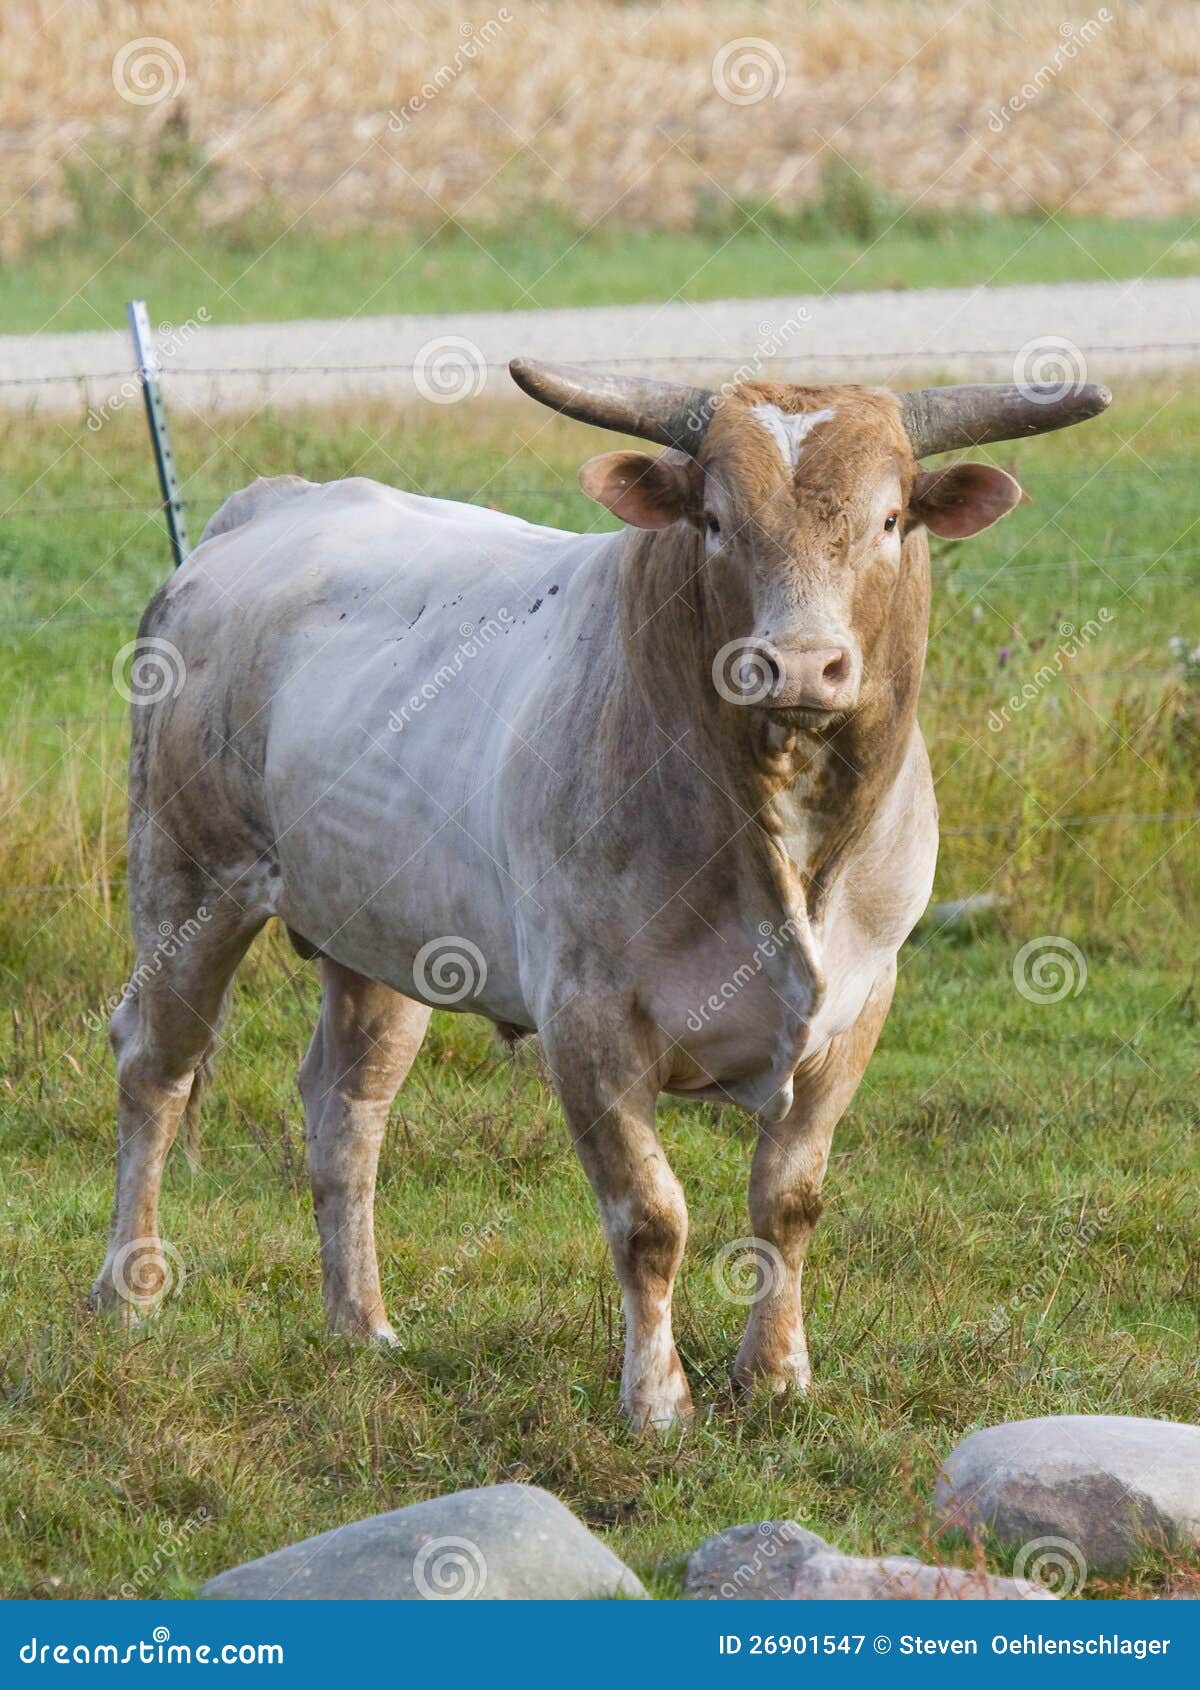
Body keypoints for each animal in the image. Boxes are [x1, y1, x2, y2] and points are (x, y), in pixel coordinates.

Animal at [90, 361, 1109, 1429]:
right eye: (714, 519)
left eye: (889, 518)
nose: (797, 664)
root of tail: (270, 506)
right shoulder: (587, 1014)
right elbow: (650, 1216)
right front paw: (658, 1401)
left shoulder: (862, 1001)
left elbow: (788, 1201)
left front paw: (777, 1375)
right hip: (189, 881)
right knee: (155, 1067)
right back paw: (130, 1294)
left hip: (382, 937)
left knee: (347, 1105)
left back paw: (359, 1324)